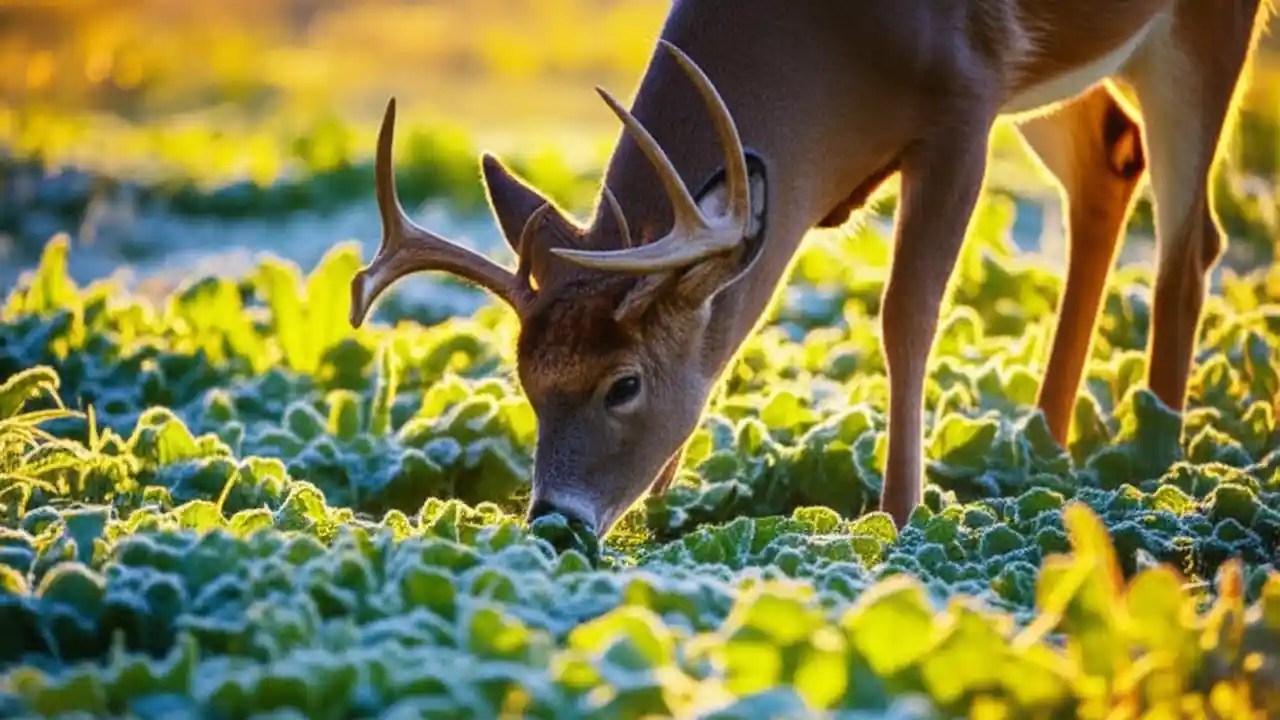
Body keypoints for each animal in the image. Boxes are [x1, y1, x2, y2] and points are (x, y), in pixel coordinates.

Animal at [348, 0, 1274, 535]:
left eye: (623, 385)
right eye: (527, 382)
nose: (554, 523)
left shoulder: (965, 105)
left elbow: (906, 314)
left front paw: (898, 516)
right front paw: (664, 504)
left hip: (1199, 31)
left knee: (1192, 245)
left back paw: (1157, 457)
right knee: (1110, 164)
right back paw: (1047, 443)